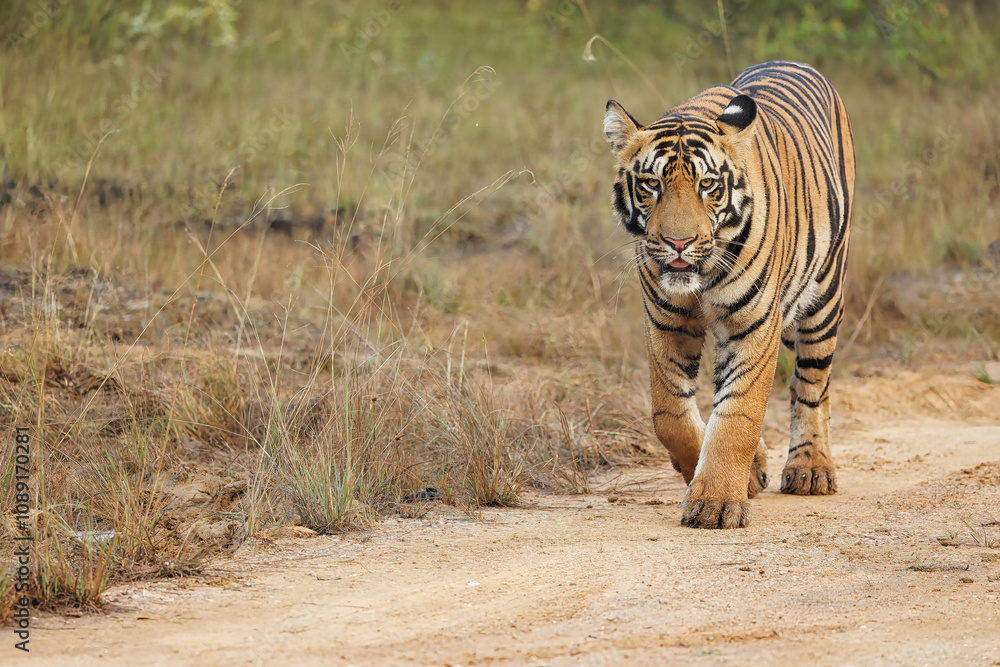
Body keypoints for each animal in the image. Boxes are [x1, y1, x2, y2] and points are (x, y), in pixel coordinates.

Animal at [604, 60, 855, 529]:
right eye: (650, 184)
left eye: (708, 185)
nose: (678, 242)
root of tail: (794, 62)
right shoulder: (666, 321)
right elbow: (670, 414)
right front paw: (736, 476)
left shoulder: (754, 324)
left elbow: (738, 415)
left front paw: (716, 503)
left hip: (825, 294)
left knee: (812, 382)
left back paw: (810, 468)